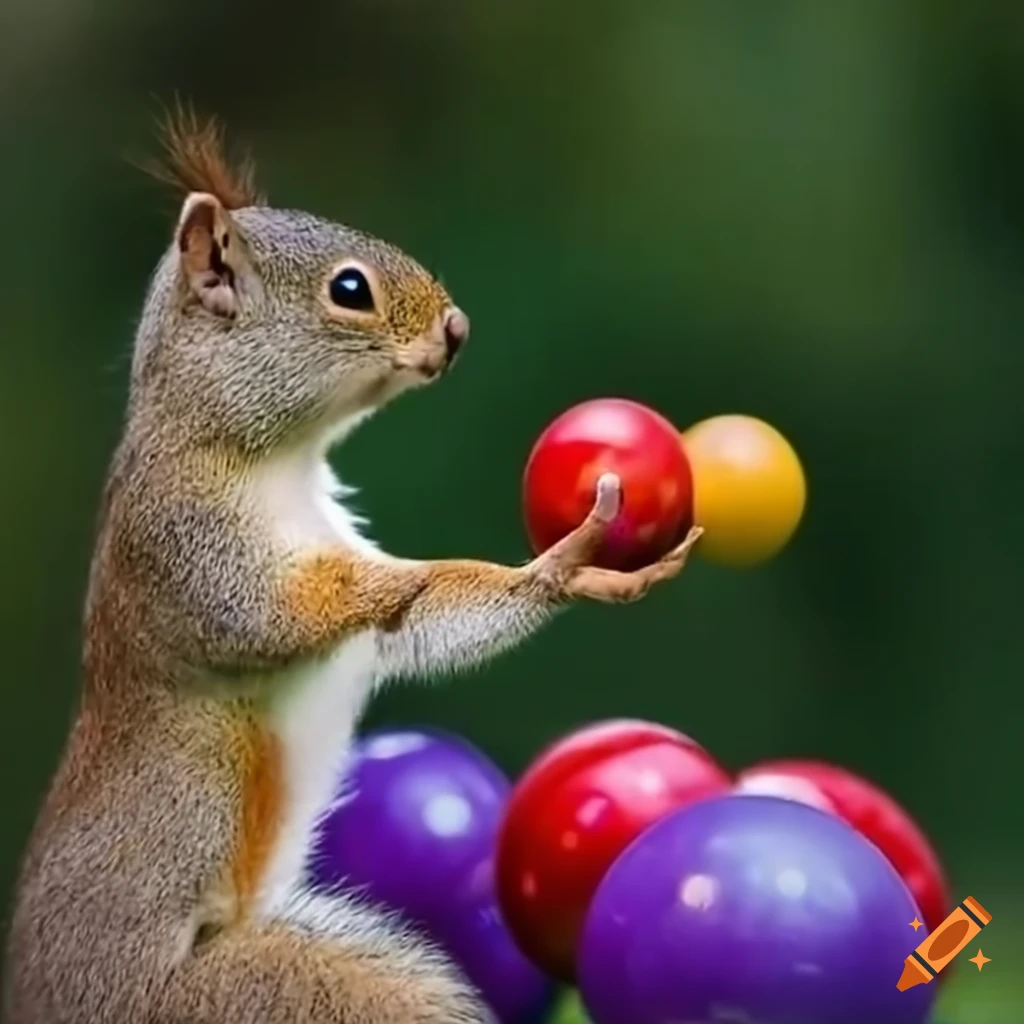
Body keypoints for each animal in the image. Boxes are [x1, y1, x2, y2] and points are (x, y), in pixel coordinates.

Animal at [2, 109, 702, 1024]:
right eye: (349, 290)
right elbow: (260, 614)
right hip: (262, 995)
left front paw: (560, 570)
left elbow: (412, 628)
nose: (457, 331)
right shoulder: (178, 534)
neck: (279, 459)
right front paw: (416, 575)